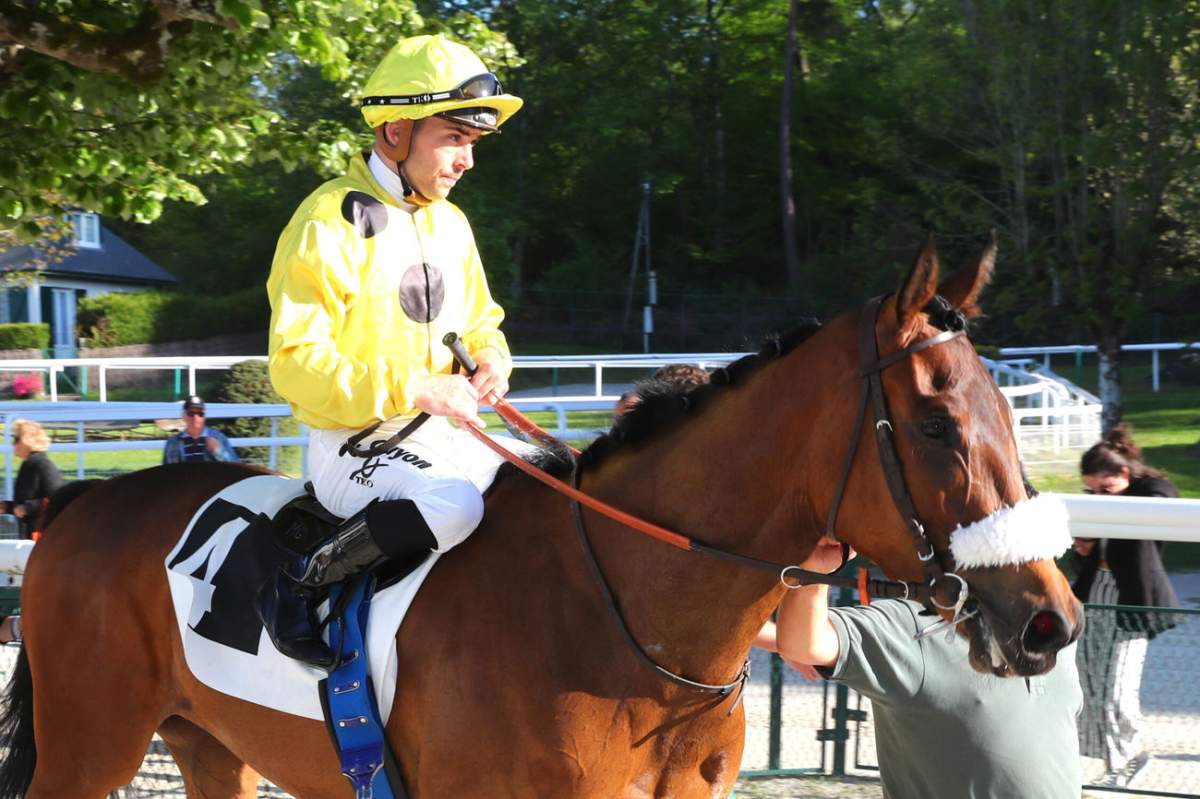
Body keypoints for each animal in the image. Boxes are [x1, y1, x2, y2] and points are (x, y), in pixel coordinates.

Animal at [0, 237, 1082, 798]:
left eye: (1006, 408)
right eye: (937, 424)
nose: (1051, 619)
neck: (633, 625)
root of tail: (82, 502)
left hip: (206, 741)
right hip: (92, 743)